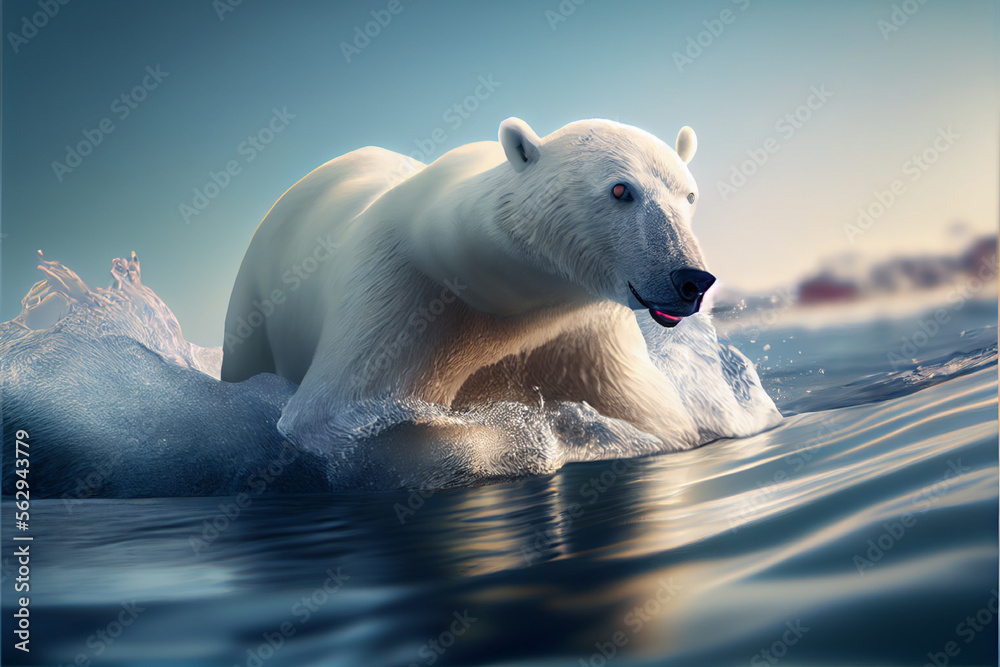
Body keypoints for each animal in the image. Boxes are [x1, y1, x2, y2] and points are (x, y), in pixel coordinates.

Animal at [222, 117, 724, 454]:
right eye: (621, 190)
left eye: (689, 195)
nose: (691, 280)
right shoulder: (397, 298)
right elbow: (339, 411)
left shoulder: (581, 330)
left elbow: (651, 411)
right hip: (254, 297)